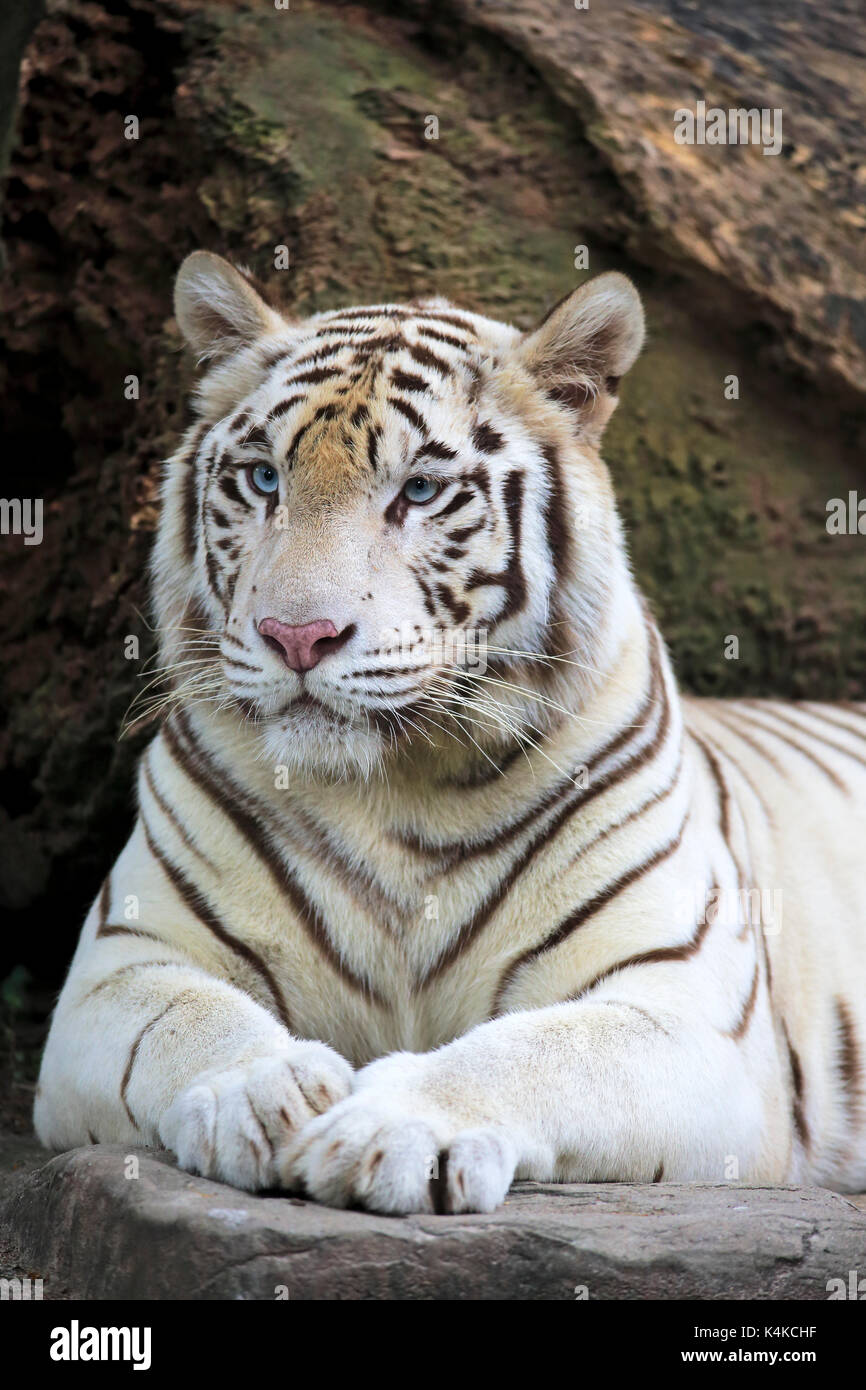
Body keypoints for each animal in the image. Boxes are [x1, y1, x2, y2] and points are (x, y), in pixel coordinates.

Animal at [34, 251, 866, 1214]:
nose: (297, 637)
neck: (390, 789)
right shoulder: (122, 964)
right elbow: (187, 1020)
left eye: (420, 491)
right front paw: (266, 1094)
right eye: (264, 479)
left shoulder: (688, 1009)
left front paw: (388, 1130)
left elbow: (538, 1053)